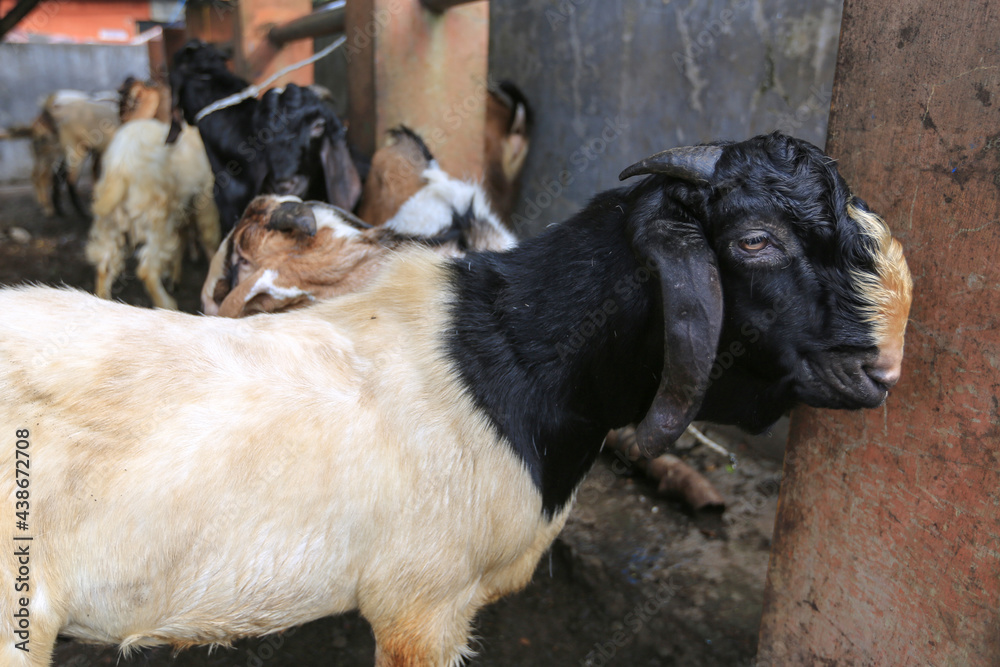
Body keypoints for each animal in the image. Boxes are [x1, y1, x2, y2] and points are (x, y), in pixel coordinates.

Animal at [86, 119, 219, 310]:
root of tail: (121, 164)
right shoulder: (206, 198)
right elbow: (209, 239)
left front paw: (174, 276)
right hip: (157, 218)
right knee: (146, 270)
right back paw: (167, 304)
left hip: (110, 221)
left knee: (104, 266)